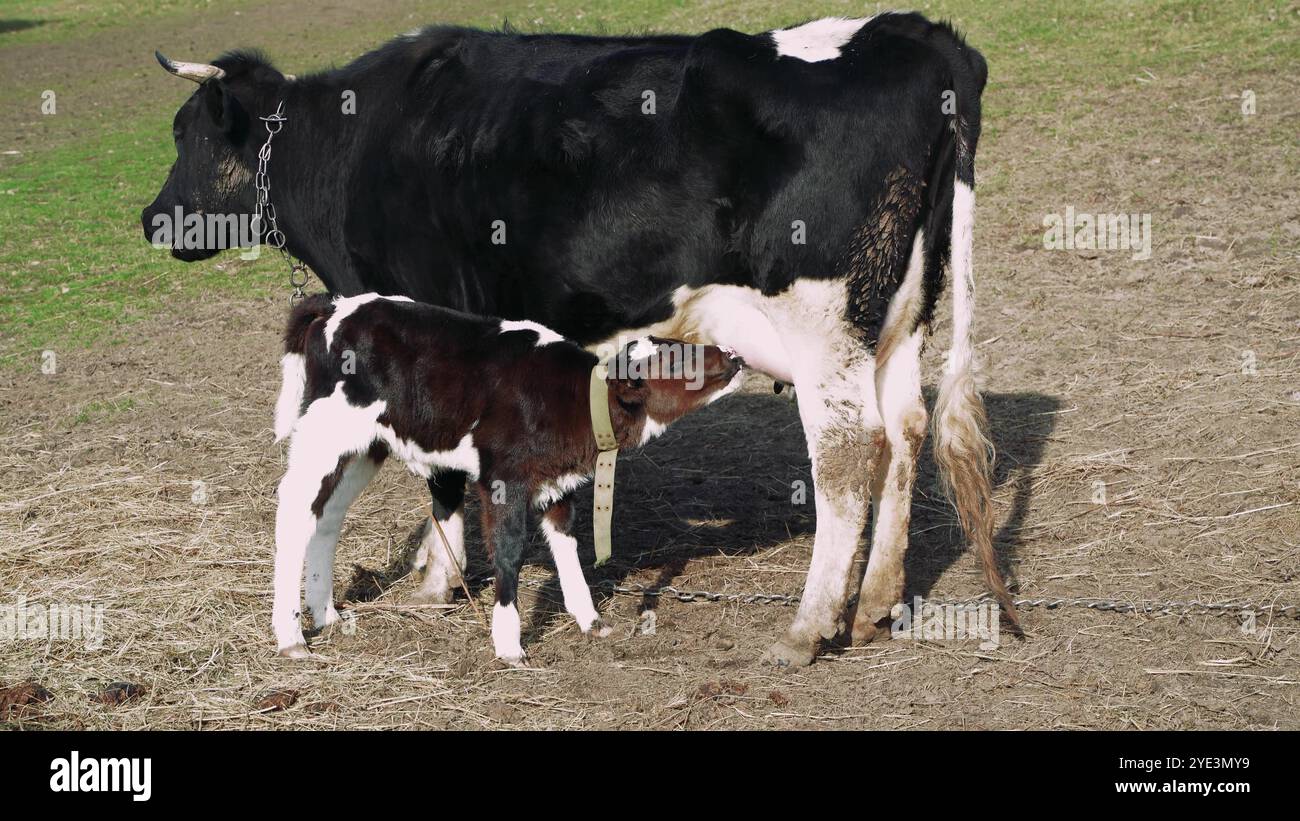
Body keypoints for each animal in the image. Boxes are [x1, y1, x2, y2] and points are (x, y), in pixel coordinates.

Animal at [272, 293, 744, 664]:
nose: (733, 355)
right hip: (323, 432)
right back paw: (292, 637)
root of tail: (333, 306)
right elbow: (509, 551)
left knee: (326, 516)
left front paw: (591, 621)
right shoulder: (503, 479)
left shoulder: (558, 485)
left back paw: (326, 615)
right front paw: (508, 645)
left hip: (365, 445)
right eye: (674, 359)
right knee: (294, 510)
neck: (573, 402)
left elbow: (568, 548)